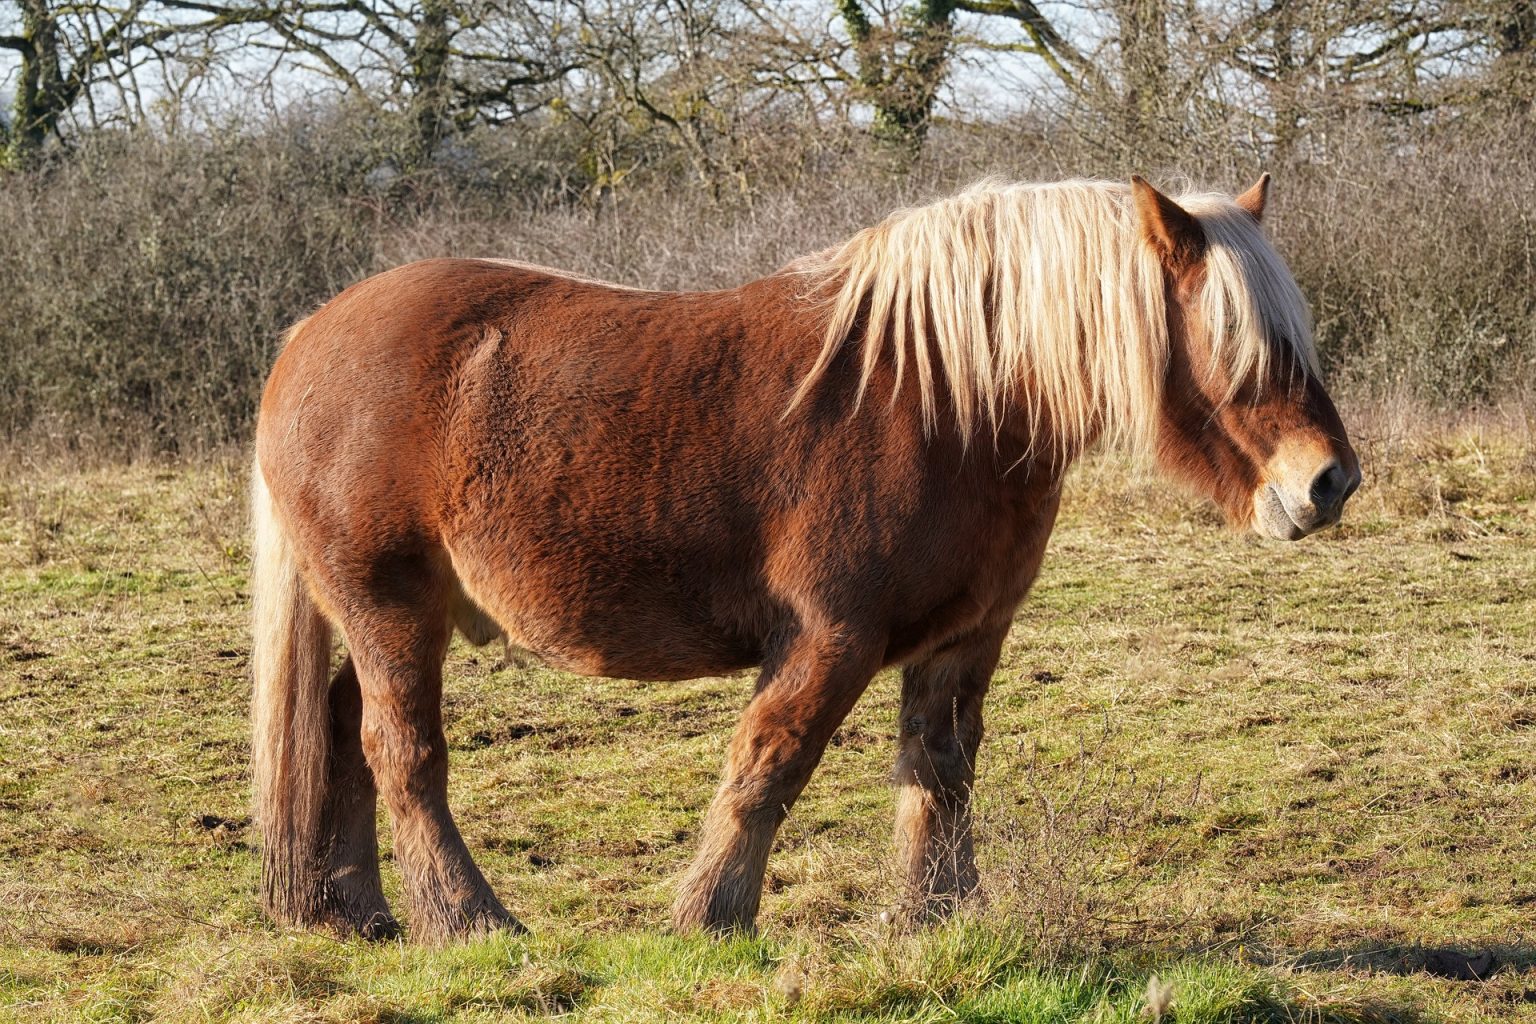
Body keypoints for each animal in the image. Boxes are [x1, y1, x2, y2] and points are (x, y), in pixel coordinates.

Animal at [250, 174, 1361, 943]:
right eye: (1239, 340)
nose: (1331, 483)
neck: (944, 397)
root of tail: (308, 334)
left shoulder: (964, 638)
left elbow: (940, 772)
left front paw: (932, 920)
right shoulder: (832, 637)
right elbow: (768, 767)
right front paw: (710, 917)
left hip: (394, 615)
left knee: (340, 733)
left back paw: (354, 911)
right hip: (390, 606)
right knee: (404, 754)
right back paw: (467, 920)